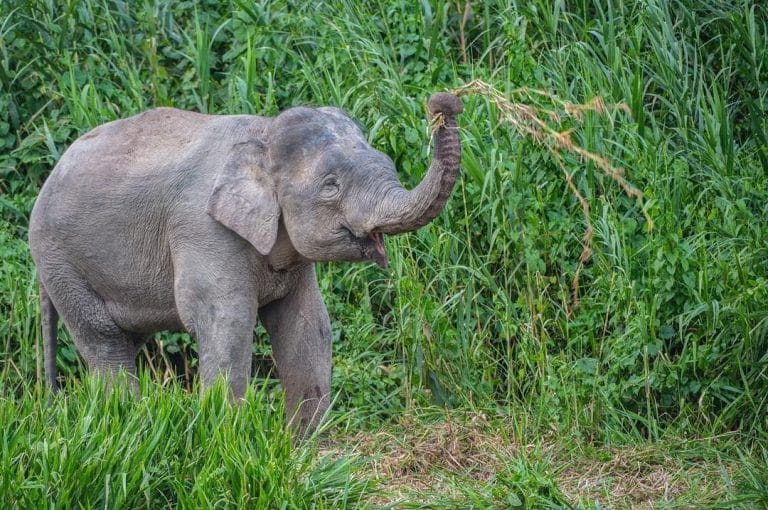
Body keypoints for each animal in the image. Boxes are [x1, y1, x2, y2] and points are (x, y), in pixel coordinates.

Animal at [28, 92, 463, 433]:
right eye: (331, 186)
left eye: (386, 161)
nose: (445, 103)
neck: (263, 134)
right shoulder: (202, 229)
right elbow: (226, 320)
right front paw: (225, 439)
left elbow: (307, 324)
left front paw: (301, 450)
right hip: (61, 262)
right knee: (103, 340)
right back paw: (130, 423)